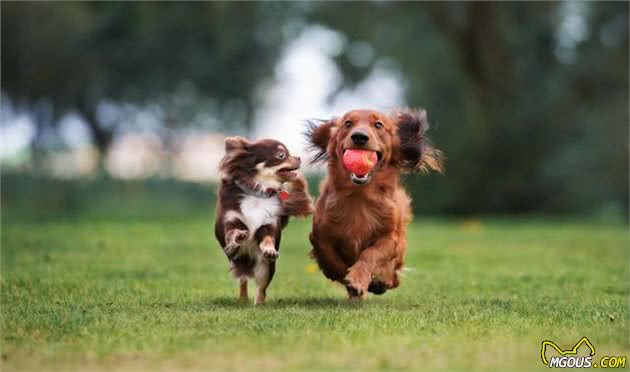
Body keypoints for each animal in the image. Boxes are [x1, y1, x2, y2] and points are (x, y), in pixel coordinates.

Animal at [217, 137, 314, 302]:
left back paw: (259, 303)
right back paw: (243, 299)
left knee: (261, 289)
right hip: (239, 262)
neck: (258, 194)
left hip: (266, 268)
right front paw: (237, 237)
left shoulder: (268, 224)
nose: (299, 158)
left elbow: (268, 238)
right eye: (281, 155)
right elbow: (231, 232)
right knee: (243, 280)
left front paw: (269, 249)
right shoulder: (231, 219)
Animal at [308, 108, 444, 300]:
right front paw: (343, 275)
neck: (359, 196)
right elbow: (330, 257)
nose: (359, 137)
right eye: (348, 123)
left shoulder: (390, 239)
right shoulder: (320, 234)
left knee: (394, 278)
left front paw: (359, 278)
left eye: (378, 125)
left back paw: (380, 282)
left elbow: (370, 254)